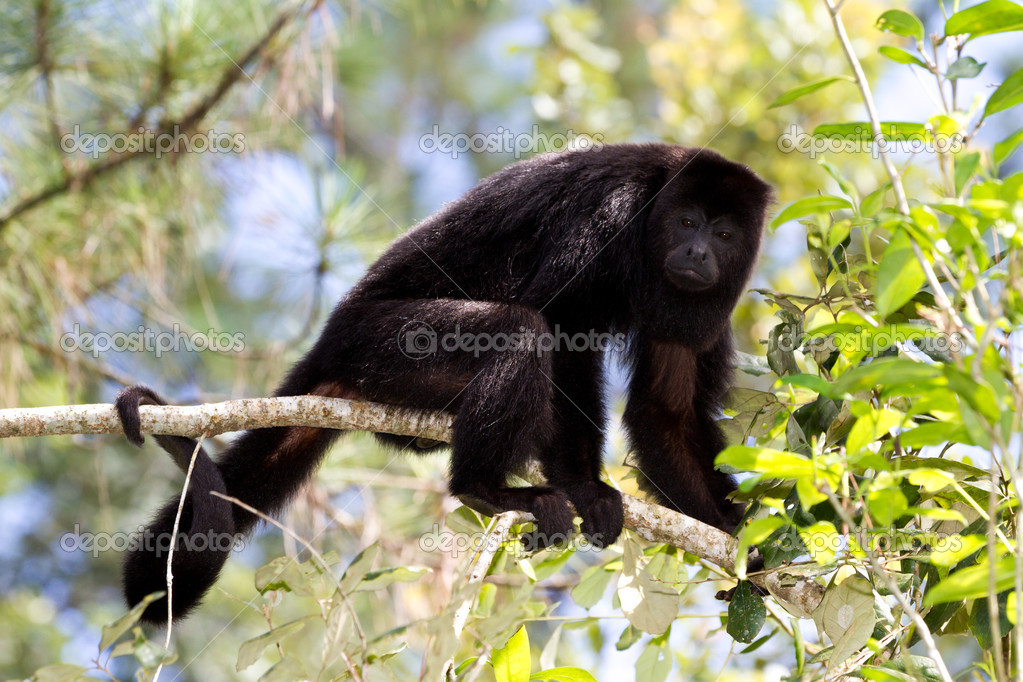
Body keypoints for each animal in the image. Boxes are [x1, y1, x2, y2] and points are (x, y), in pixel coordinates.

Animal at [115, 142, 772, 622]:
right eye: (687, 221)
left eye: (724, 234)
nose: (696, 252)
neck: (653, 215)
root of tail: (329, 344)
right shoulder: (610, 212)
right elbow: (560, 327)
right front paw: (586, 487)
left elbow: (665, 414)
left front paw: (745, 541)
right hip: (377, 344)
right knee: (519, 332)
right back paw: (484, 489)